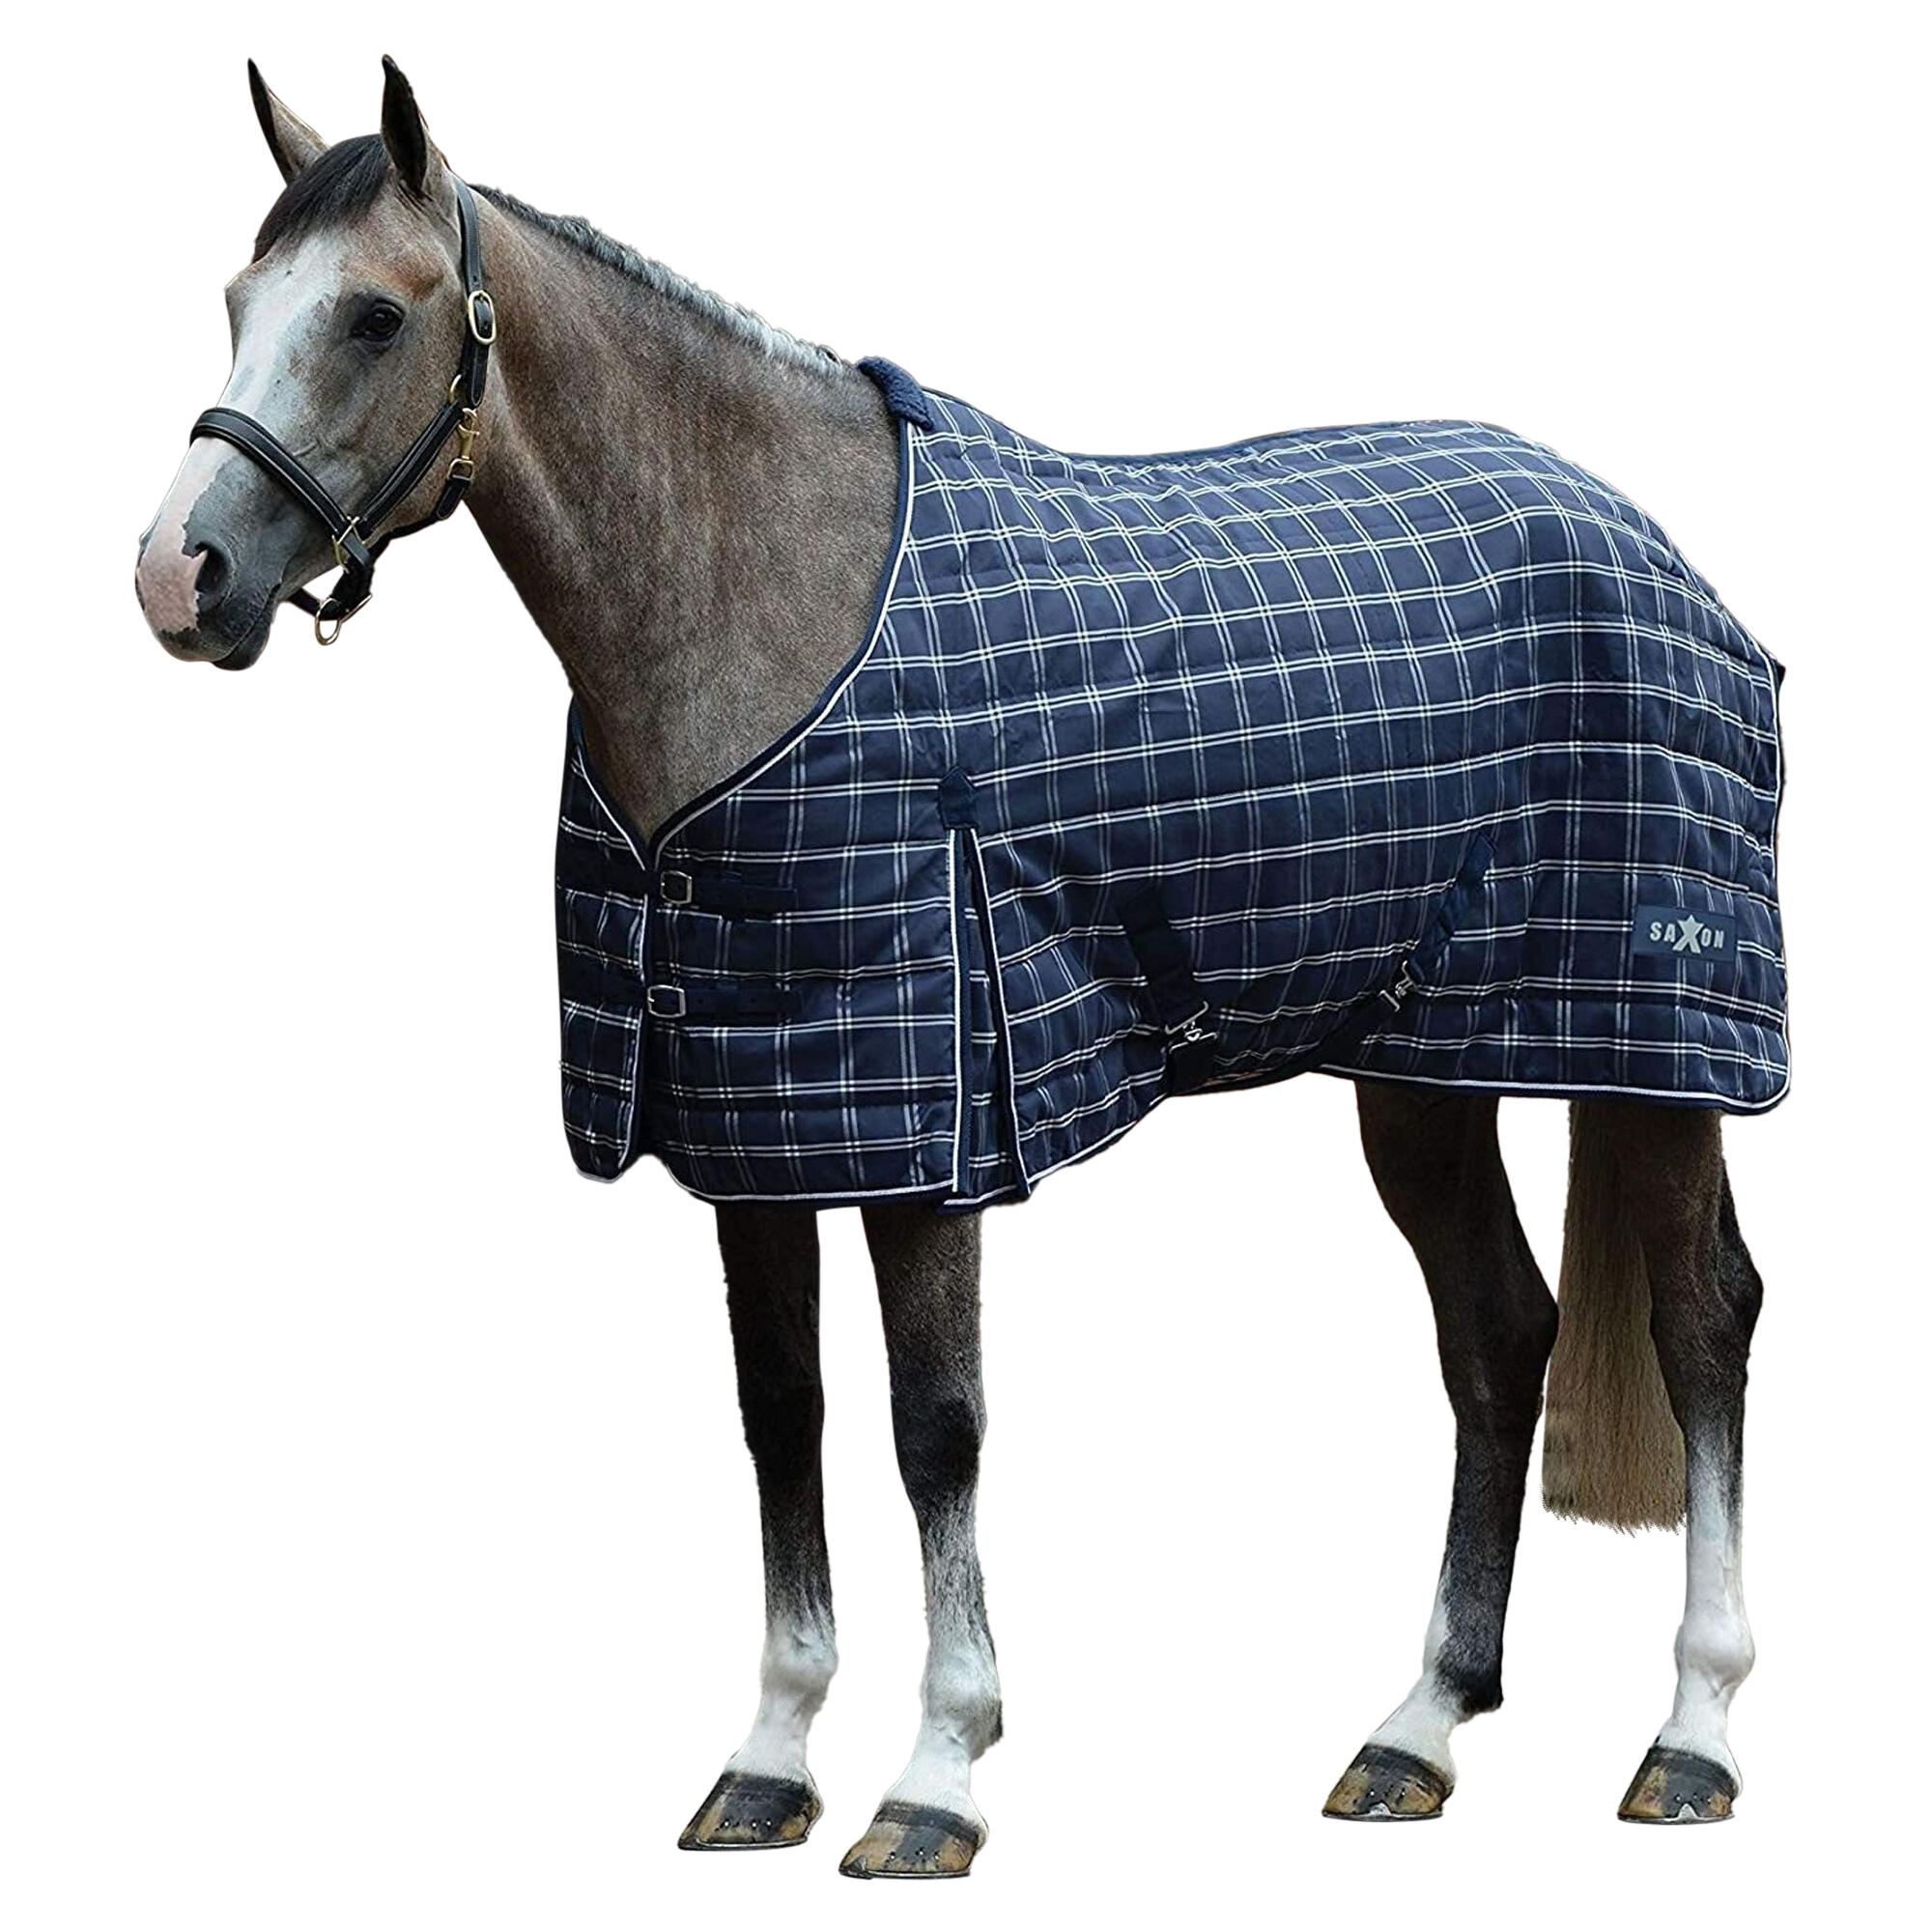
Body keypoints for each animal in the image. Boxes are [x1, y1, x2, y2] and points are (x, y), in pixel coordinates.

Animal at [134, 58, 1780, 1872]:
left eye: (369, 315)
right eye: (236, 304)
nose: (179, 575)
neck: (768, 615)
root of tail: (1649, 542)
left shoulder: (931, 1115)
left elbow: (938, 1428)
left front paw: (936, 1773)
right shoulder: (762, 1122)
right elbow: (781, 1412)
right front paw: (770, 1760)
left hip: (1659, 1046)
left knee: (1703, 1324)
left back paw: (1692, 1733)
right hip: (1426, 1065)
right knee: (1497, 1336)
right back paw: (1416, 1729)